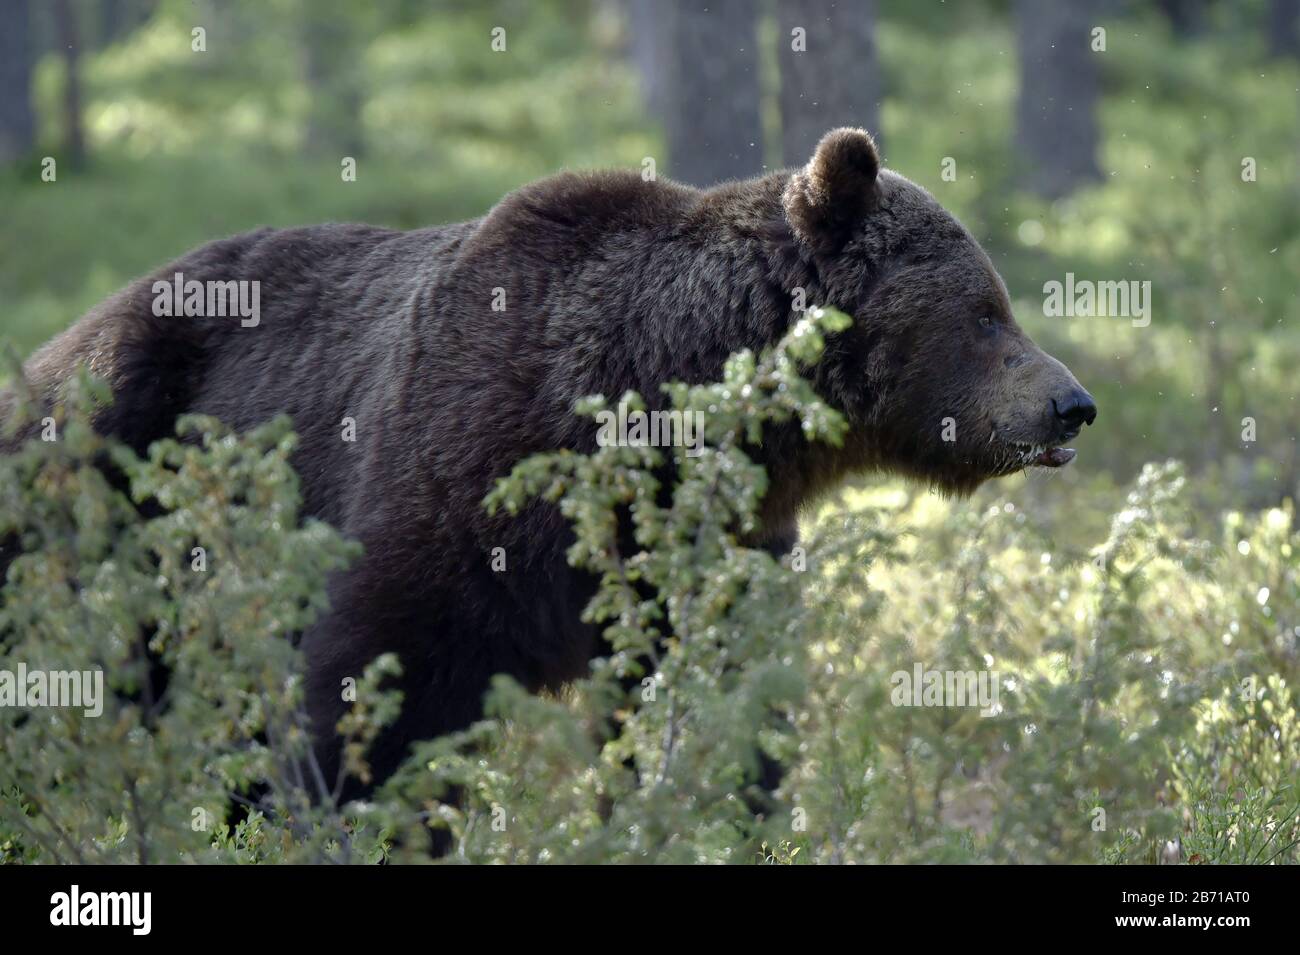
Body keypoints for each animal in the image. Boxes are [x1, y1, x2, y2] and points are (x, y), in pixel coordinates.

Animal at [1, 128, 1095, 794]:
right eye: (984, 310)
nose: (1073, 403)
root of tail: (52, 347)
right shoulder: (452, 485)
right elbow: (371, 687)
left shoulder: (709, 541)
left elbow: (720, 690)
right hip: (106, 468)